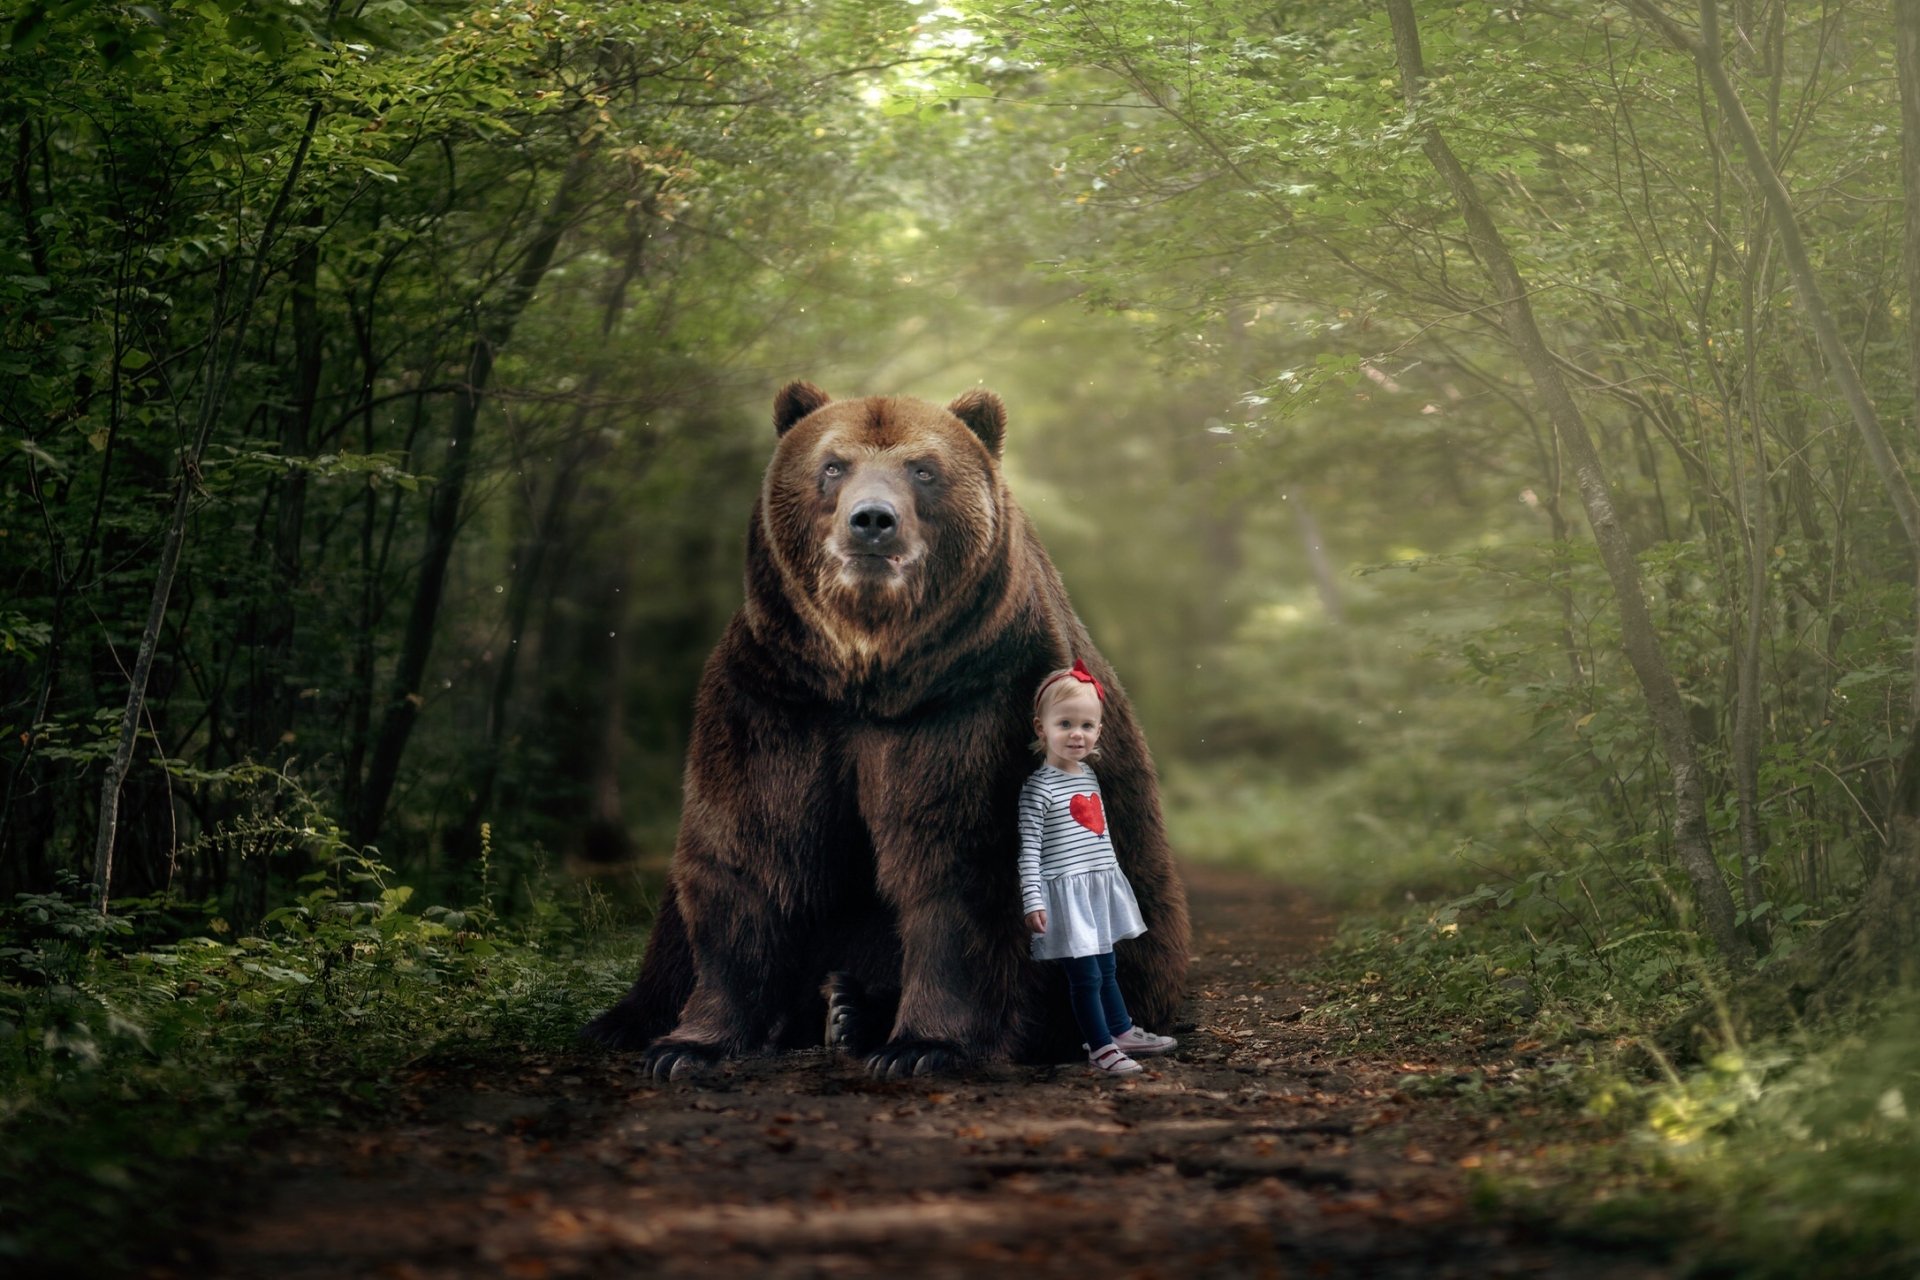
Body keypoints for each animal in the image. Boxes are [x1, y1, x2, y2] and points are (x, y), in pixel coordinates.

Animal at [582, 382, 1190, 1079]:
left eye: (923, 470)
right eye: (832, 465)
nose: (872, 520)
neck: (868, 671)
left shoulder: (972, 699)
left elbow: (957, 859)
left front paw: (920, 1046)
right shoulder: (776, 700)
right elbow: (750, 852)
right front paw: (688, 1045)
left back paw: (851, 1009)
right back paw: (634, 1020)